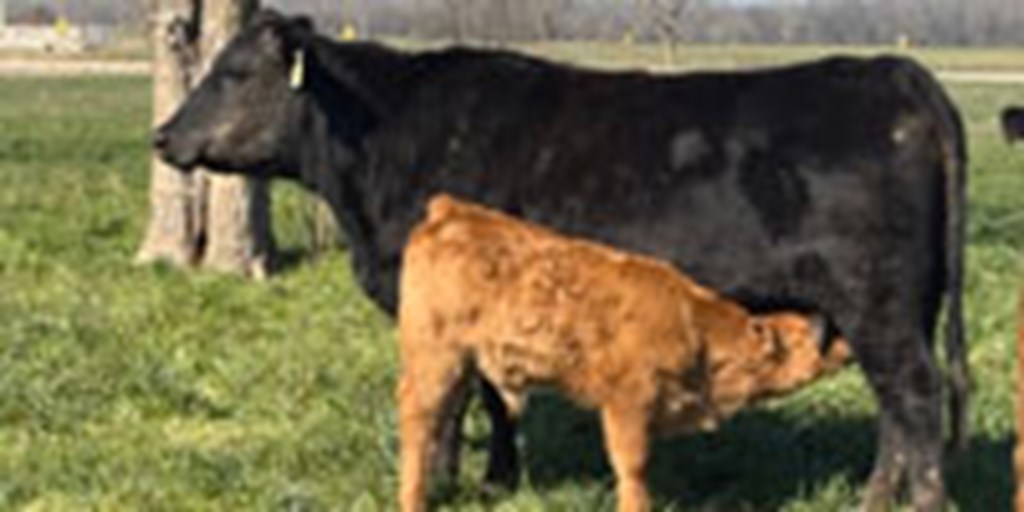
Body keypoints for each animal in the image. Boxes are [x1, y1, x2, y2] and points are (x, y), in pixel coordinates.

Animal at [397, 194, 852, 512]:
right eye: (805, 335)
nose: (847, 342)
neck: (695, 327)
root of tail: (450, 211)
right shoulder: (626, 404)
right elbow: (632, 468)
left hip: (460, 365)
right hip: (434, 358)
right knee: (418, 420)